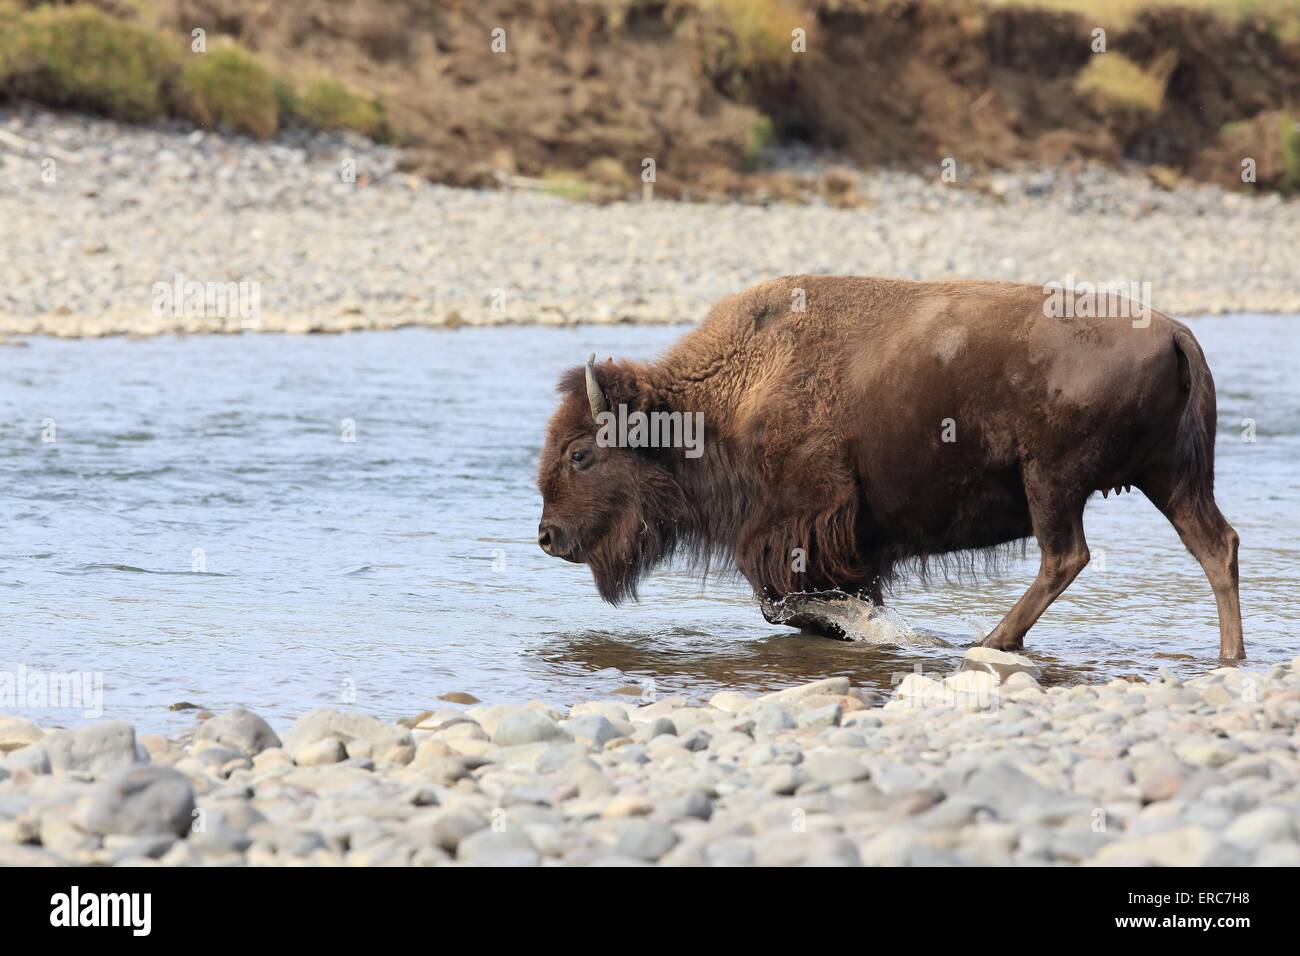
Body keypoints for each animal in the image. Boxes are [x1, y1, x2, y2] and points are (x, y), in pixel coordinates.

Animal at [536, 276, 1244, 661]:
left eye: (581, 452)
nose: (547, 536)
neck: (734, 391)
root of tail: (1176, 330)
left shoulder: (805, 527)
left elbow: (792, 604)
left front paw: (884, 633)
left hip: (1054, 480)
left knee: (1065, 556)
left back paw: (992, 641)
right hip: (1168, 480)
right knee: (1216, 546)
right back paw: (1230, 654)